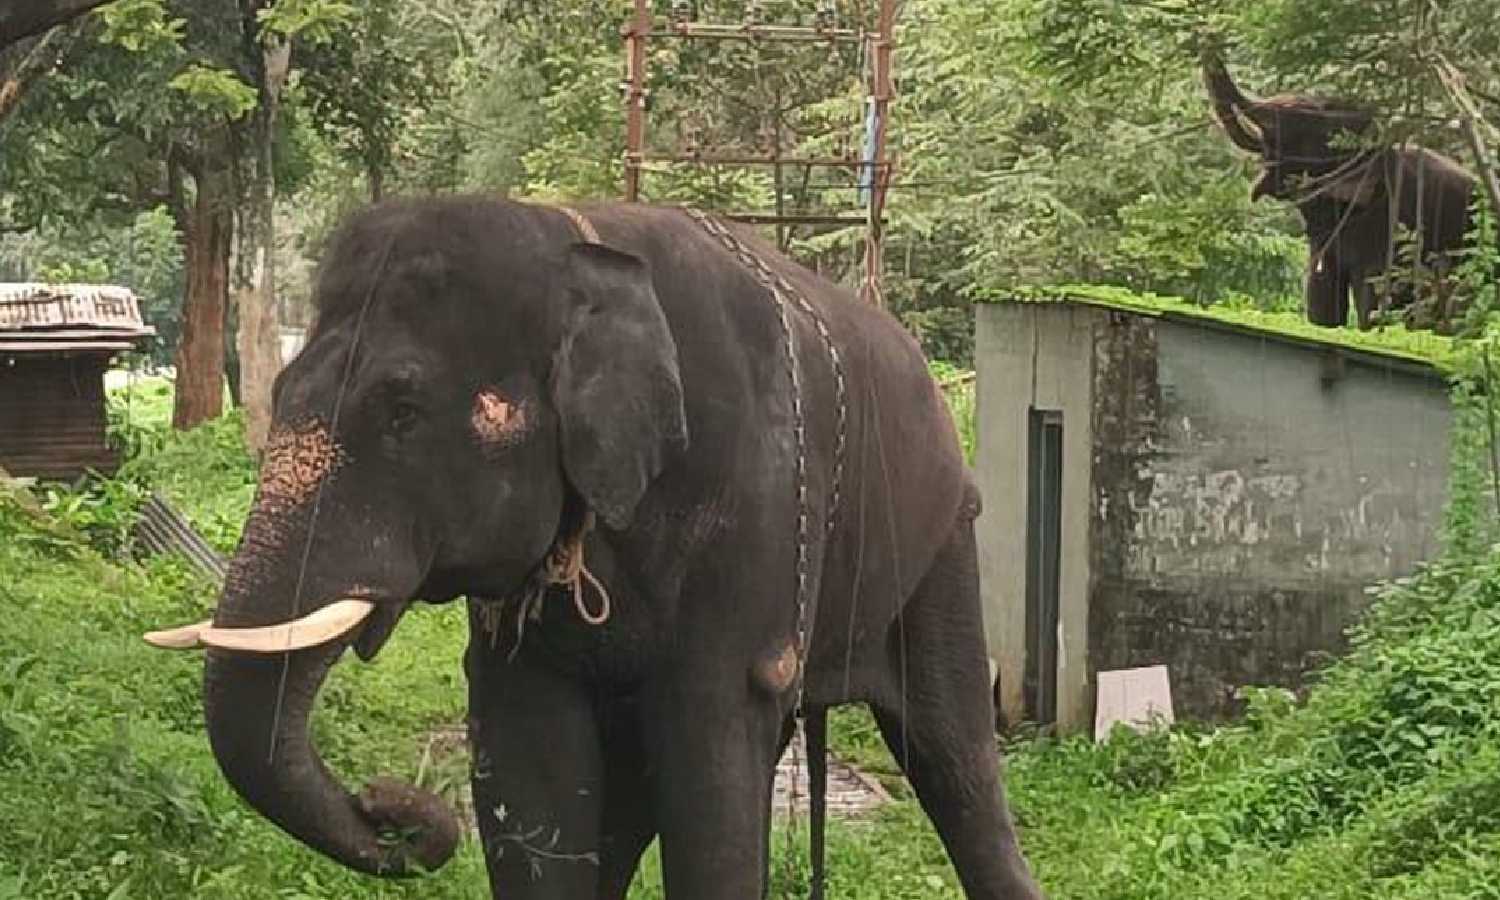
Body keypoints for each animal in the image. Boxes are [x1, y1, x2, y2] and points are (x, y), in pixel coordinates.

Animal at [144, 197, 1045, 899]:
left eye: (401, 414)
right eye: (280, 392)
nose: (390, 804)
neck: (577, 241)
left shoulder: (753, 503)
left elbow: (713, 754)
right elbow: (531, 764)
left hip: (945, 540)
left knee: (952, 759)